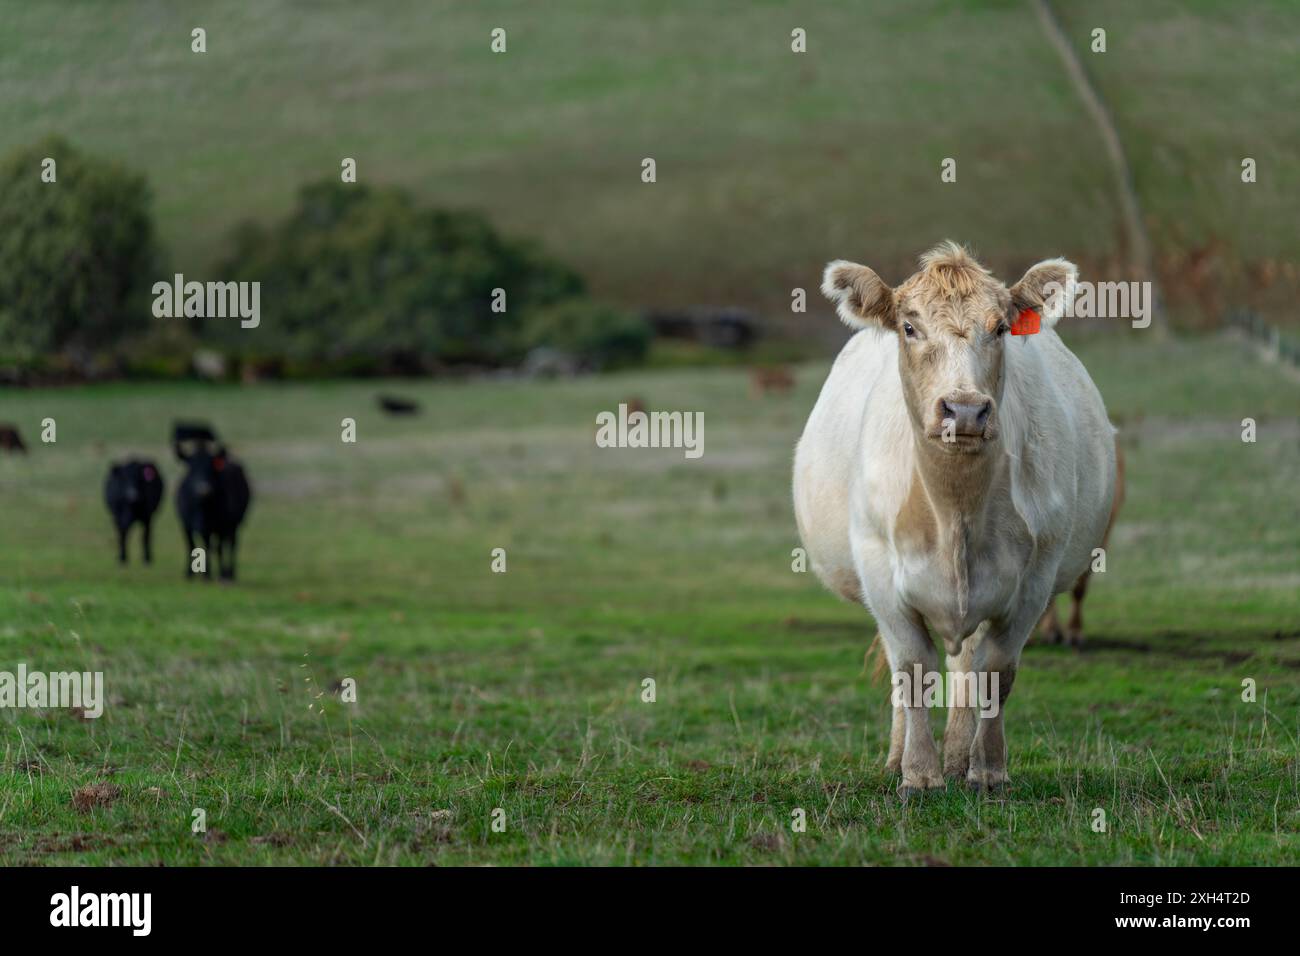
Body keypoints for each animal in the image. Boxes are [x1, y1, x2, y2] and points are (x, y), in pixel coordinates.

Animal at [175, 432, 251, 582]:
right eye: (191, 468)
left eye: (211, 467)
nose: (203, 489)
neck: (205, 510)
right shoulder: (194, 526)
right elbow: (199, 546)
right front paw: (200, 575)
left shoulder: (223, 526)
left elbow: (218, 547)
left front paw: (219, 574)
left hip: (234, 525)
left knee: (231, 544)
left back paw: (229, 574)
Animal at [793, 242, 1117, 799]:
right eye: (909, 326)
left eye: (1002, 327)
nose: (964, 411)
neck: (955, 511)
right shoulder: (881, 573)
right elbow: (911, 670)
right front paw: (918, 773)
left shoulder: (1034, 579)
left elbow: (995, 672)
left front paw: (986, 769)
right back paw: (899, 757)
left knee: (966, 667)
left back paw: (958, 757)